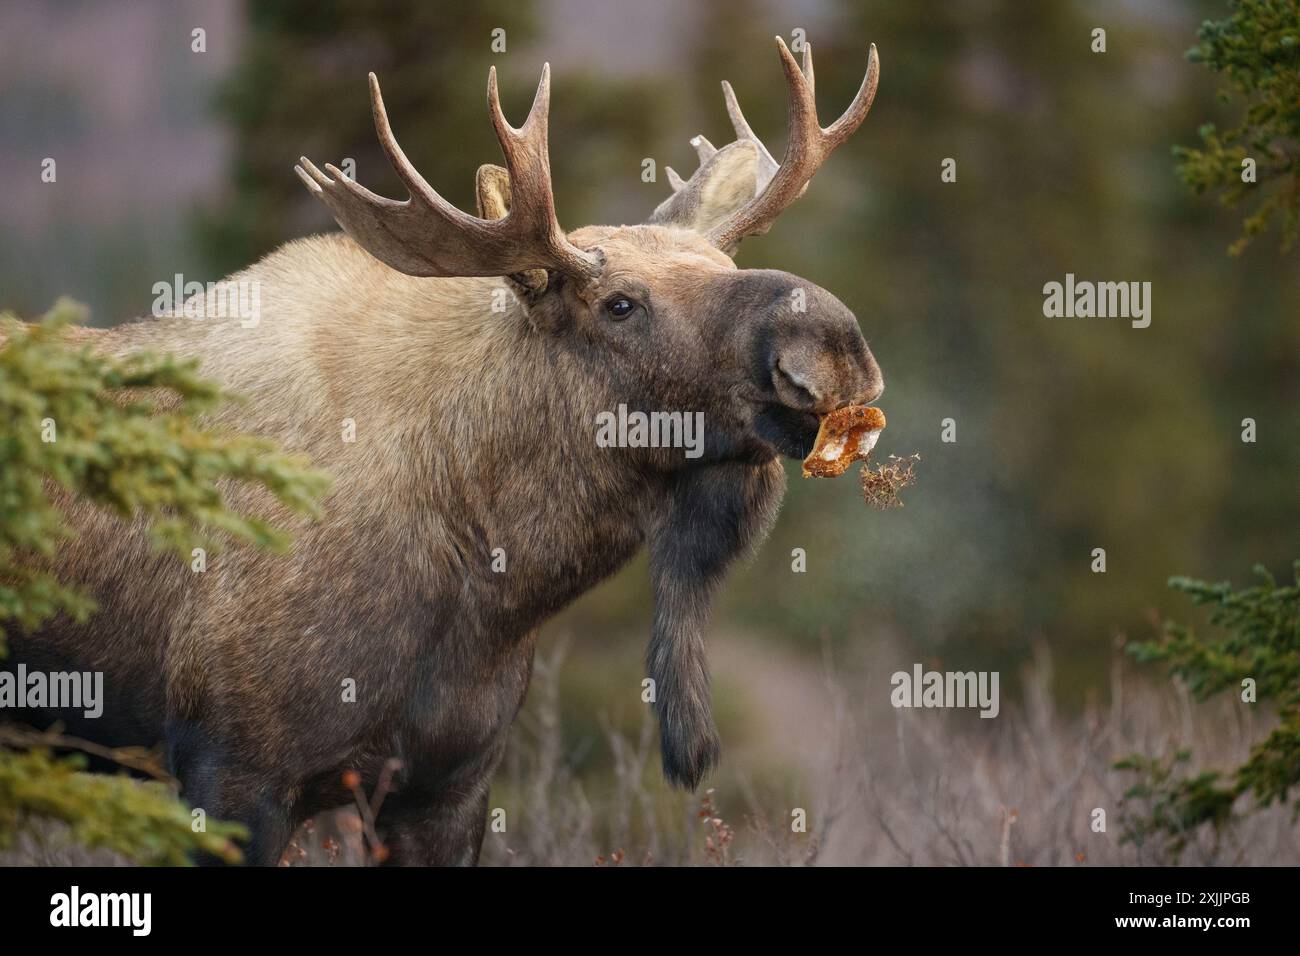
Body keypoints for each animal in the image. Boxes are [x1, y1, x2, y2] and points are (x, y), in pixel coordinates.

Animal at [6, 38, 883, 865]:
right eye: (619, 303)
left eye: (728, 264)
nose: (832, 344)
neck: (490, 589)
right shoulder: (231, 775)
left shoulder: (447, 789)